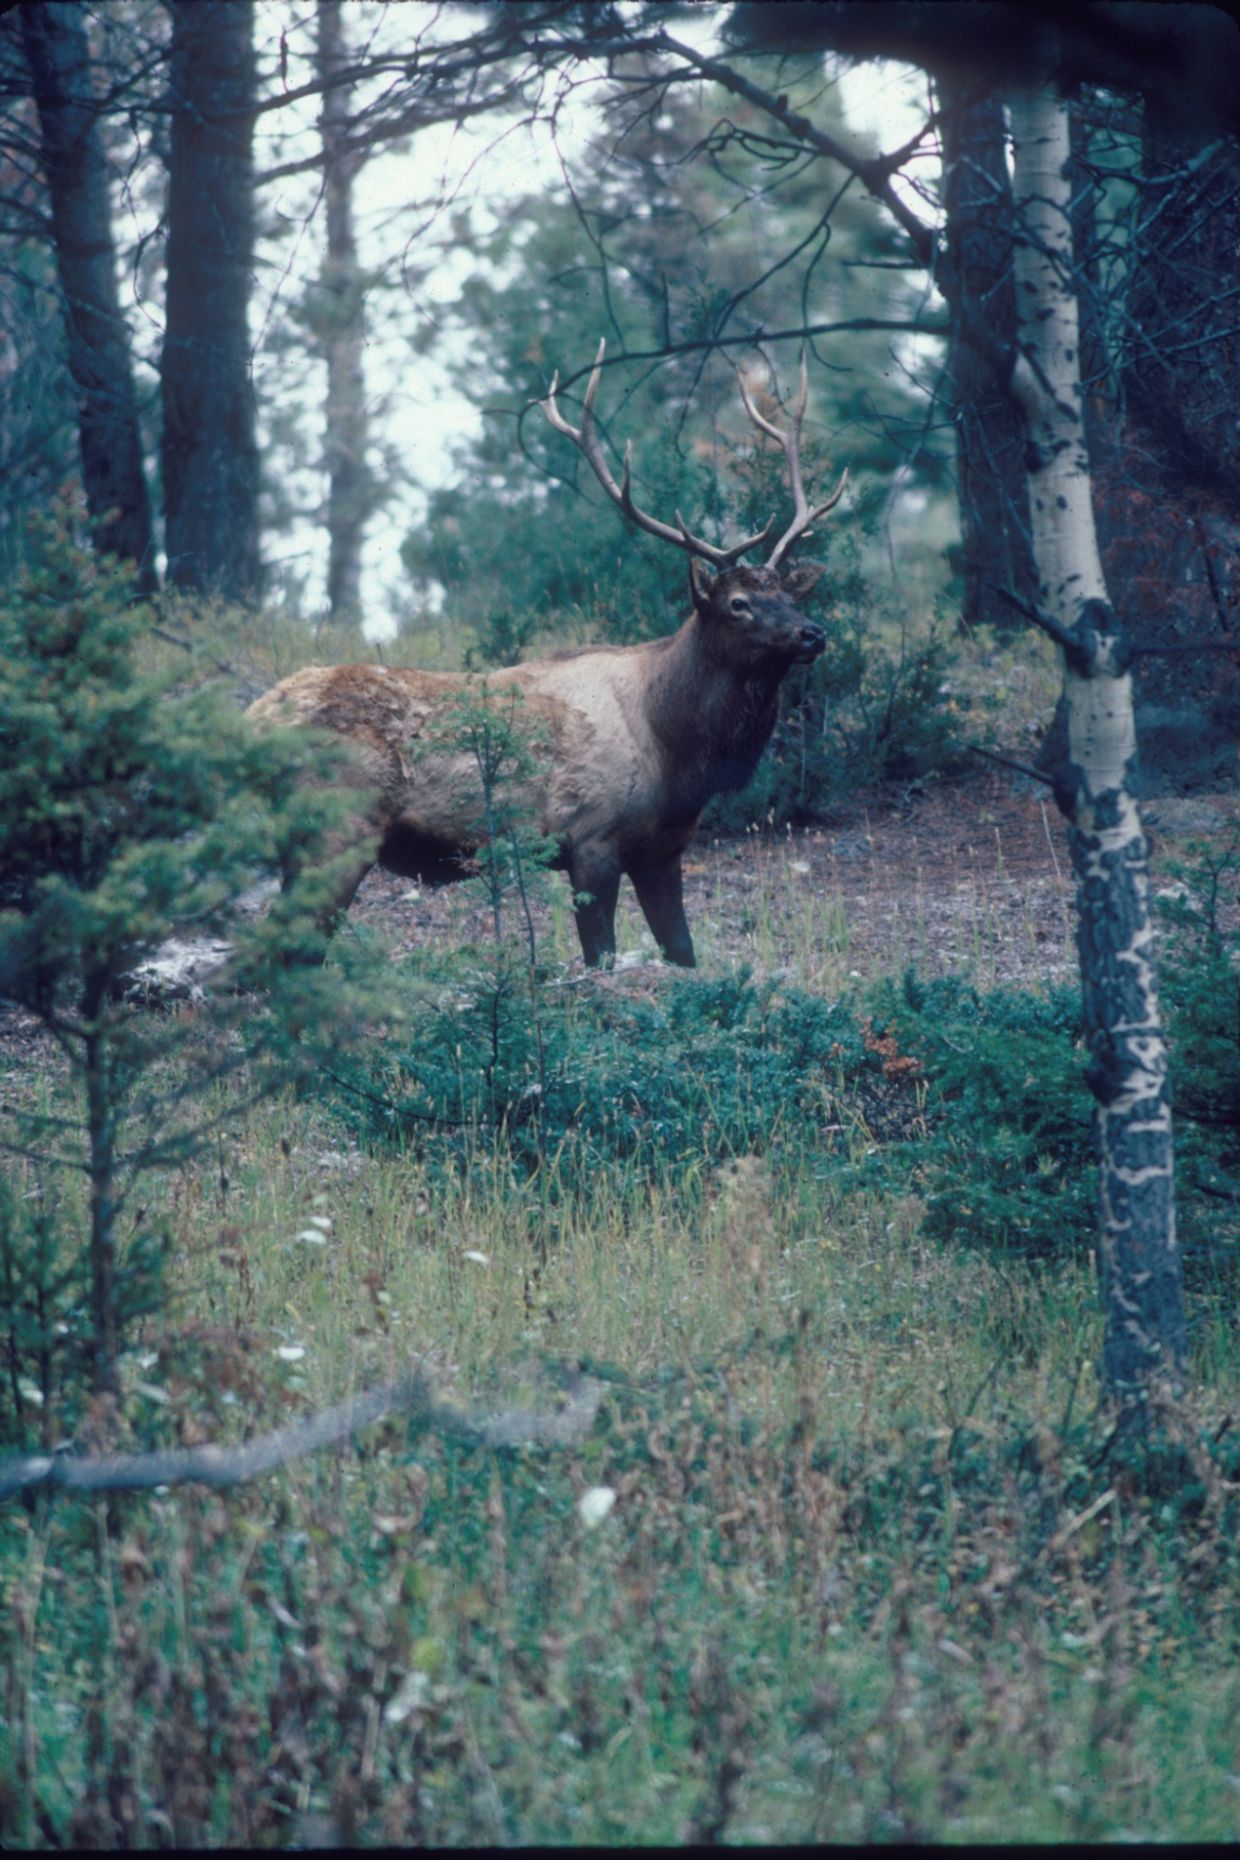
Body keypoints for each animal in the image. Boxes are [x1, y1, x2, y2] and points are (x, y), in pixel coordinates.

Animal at [247, 343, 847, 968]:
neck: (677, 751)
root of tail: (254, 717)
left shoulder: (663, 849)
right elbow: (600, 953)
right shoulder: (590, 837)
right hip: (337, 826)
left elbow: (682, 949)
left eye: (792, 596)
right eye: (738, 603)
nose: (813, 633)